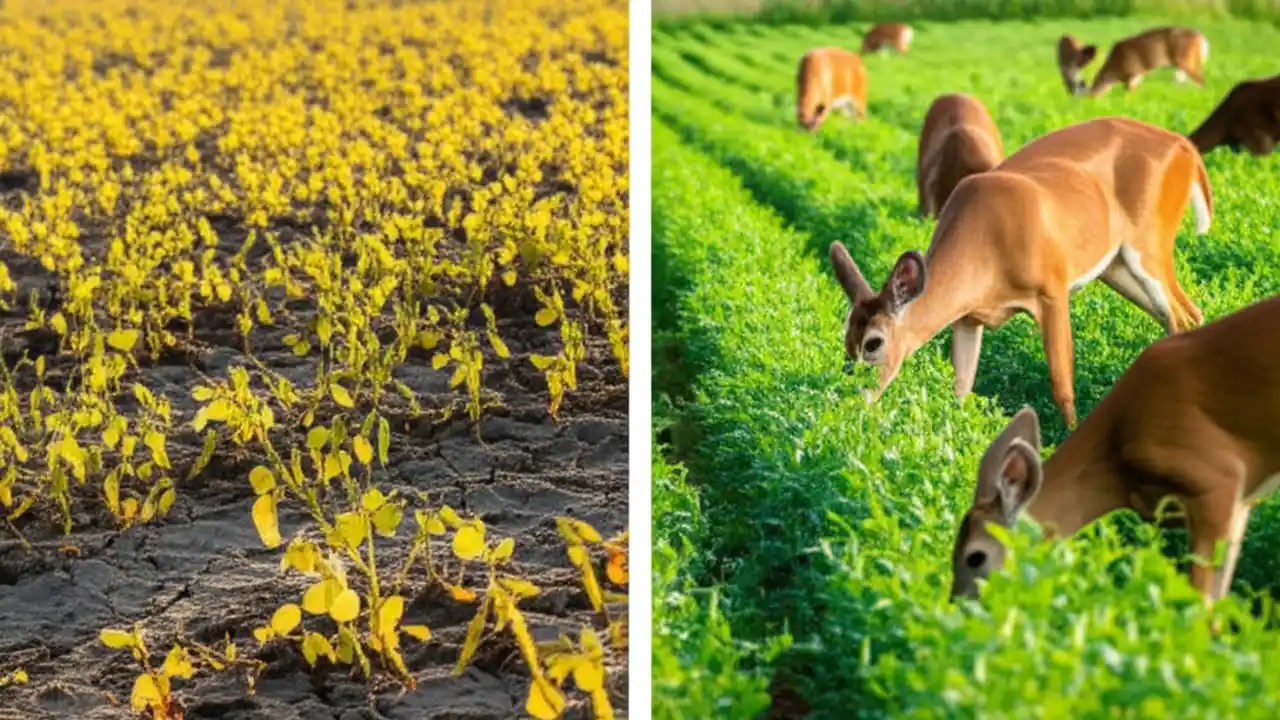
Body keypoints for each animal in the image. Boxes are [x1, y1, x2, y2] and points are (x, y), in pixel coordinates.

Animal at [830, 116, 1211, 428]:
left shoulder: (1052, 289)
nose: (849, 397)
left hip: (1149, 244)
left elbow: (1062, 382)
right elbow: (961, 387)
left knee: (1179, 314)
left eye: (874, 343)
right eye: (846, 340)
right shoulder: (968, 317)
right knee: (1187, 313)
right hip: (1116, 267)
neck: (986, 245)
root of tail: (1184, 147)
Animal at [1057, 26, 1208, 97]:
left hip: (1186, 61)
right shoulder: (1137, 76)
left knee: (1201, 81)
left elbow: (1128, 96)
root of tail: (1202, 40)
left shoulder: (1133, 74)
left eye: (1072, 88)